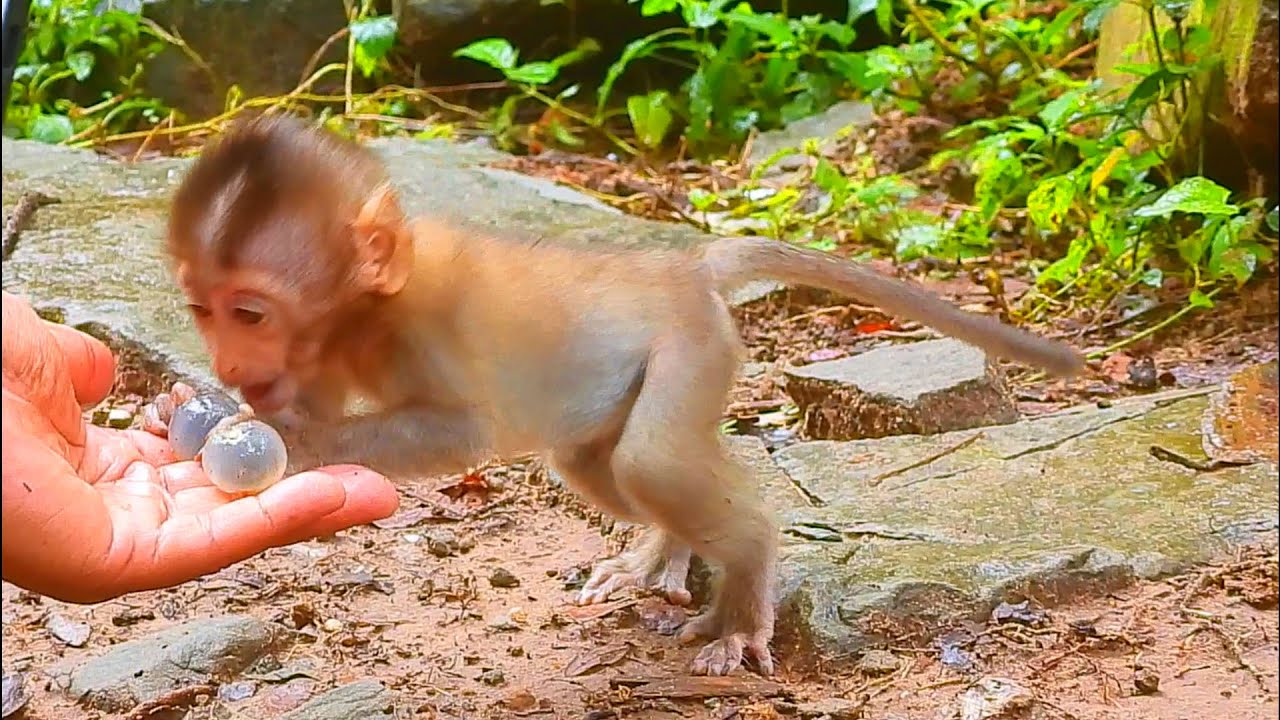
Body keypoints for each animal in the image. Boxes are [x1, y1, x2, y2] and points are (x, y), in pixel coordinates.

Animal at [150, 113, 1085, 677]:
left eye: (250, 310)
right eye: (203, 309)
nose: (228, 357)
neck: (363, 311)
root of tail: (681, 266)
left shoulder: (426, 324)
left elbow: (462, 431)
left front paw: (292, 442)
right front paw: (187, 411)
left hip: (693, 349)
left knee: (654, 460)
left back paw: (744, 584)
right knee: (594, 463)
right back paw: (662, 553)